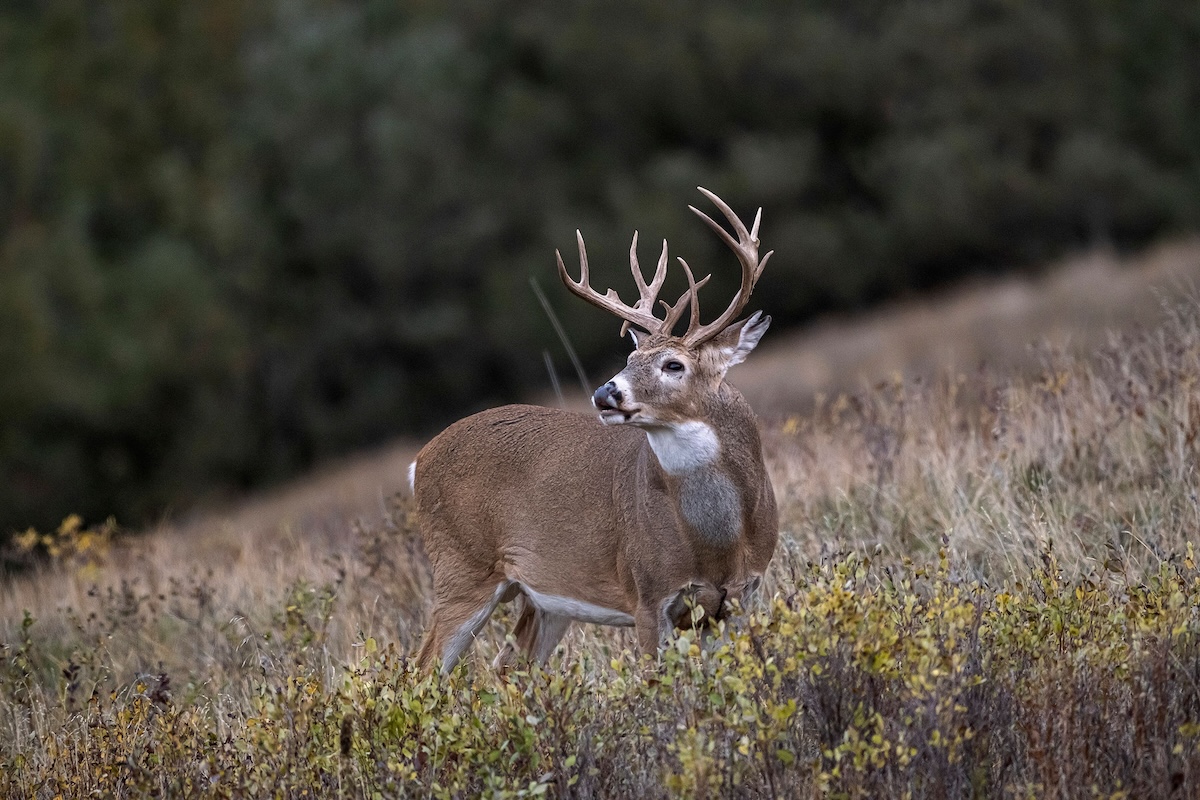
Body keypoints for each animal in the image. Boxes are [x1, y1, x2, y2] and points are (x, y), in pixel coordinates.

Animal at [409, 187, 777, 673]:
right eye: (629, 359)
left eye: (673, 364)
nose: (605, 392)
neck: (718, 546)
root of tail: (418, 461)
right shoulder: (647, 594)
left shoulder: (742, 595)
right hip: (461, 568)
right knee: (421, 669)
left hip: (543, 597)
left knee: (510, 665)